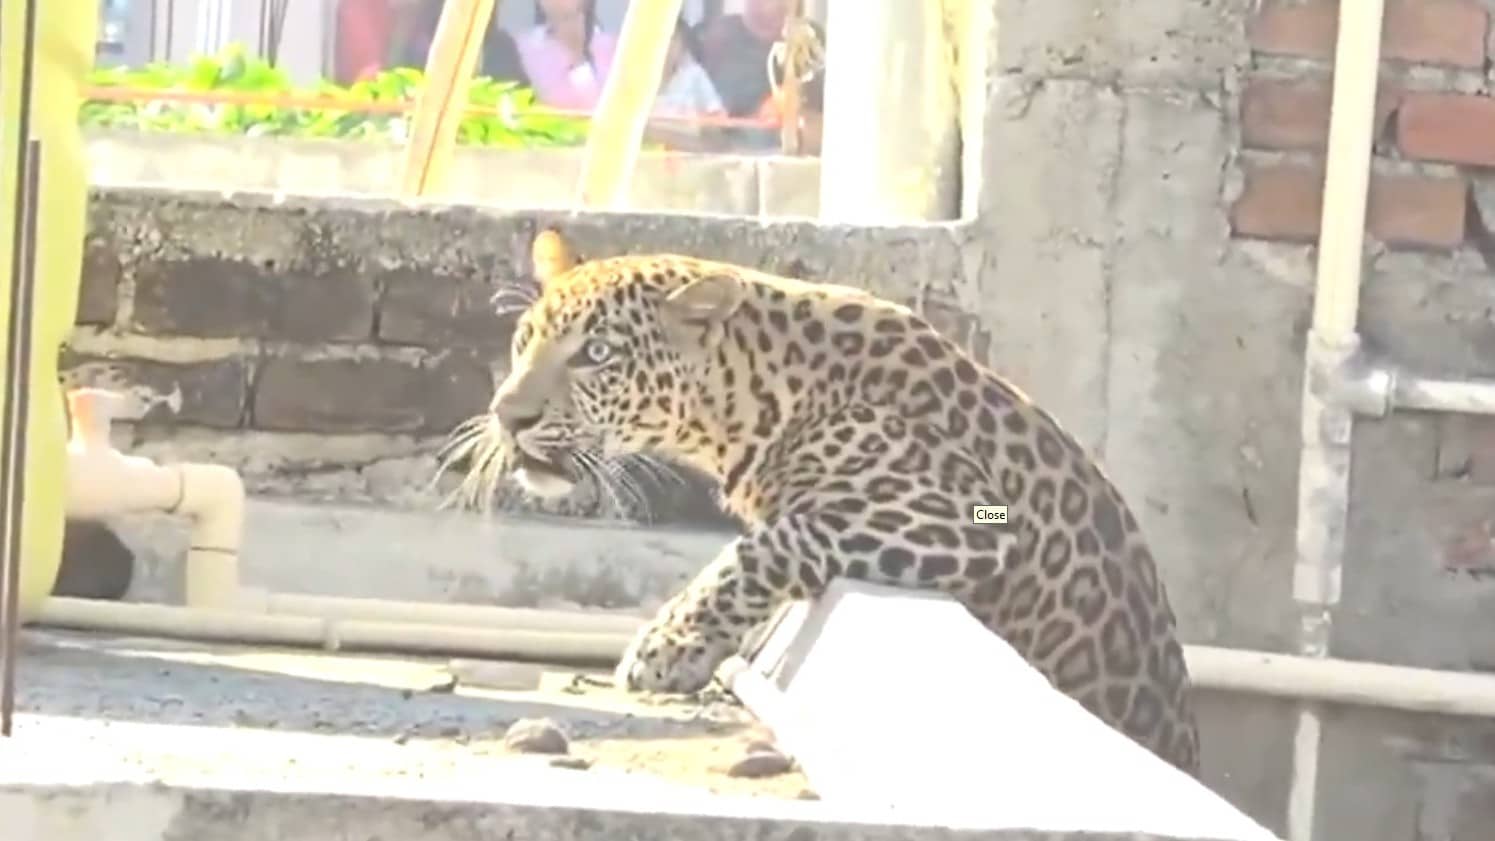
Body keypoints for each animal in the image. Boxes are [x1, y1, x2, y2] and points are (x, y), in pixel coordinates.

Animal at [445, 228, 1201, 776]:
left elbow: (767, 542)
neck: (755, 401)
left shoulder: (962, 515)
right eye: (524, 340)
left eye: (595, 354)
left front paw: (667, 646)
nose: (507, 414)